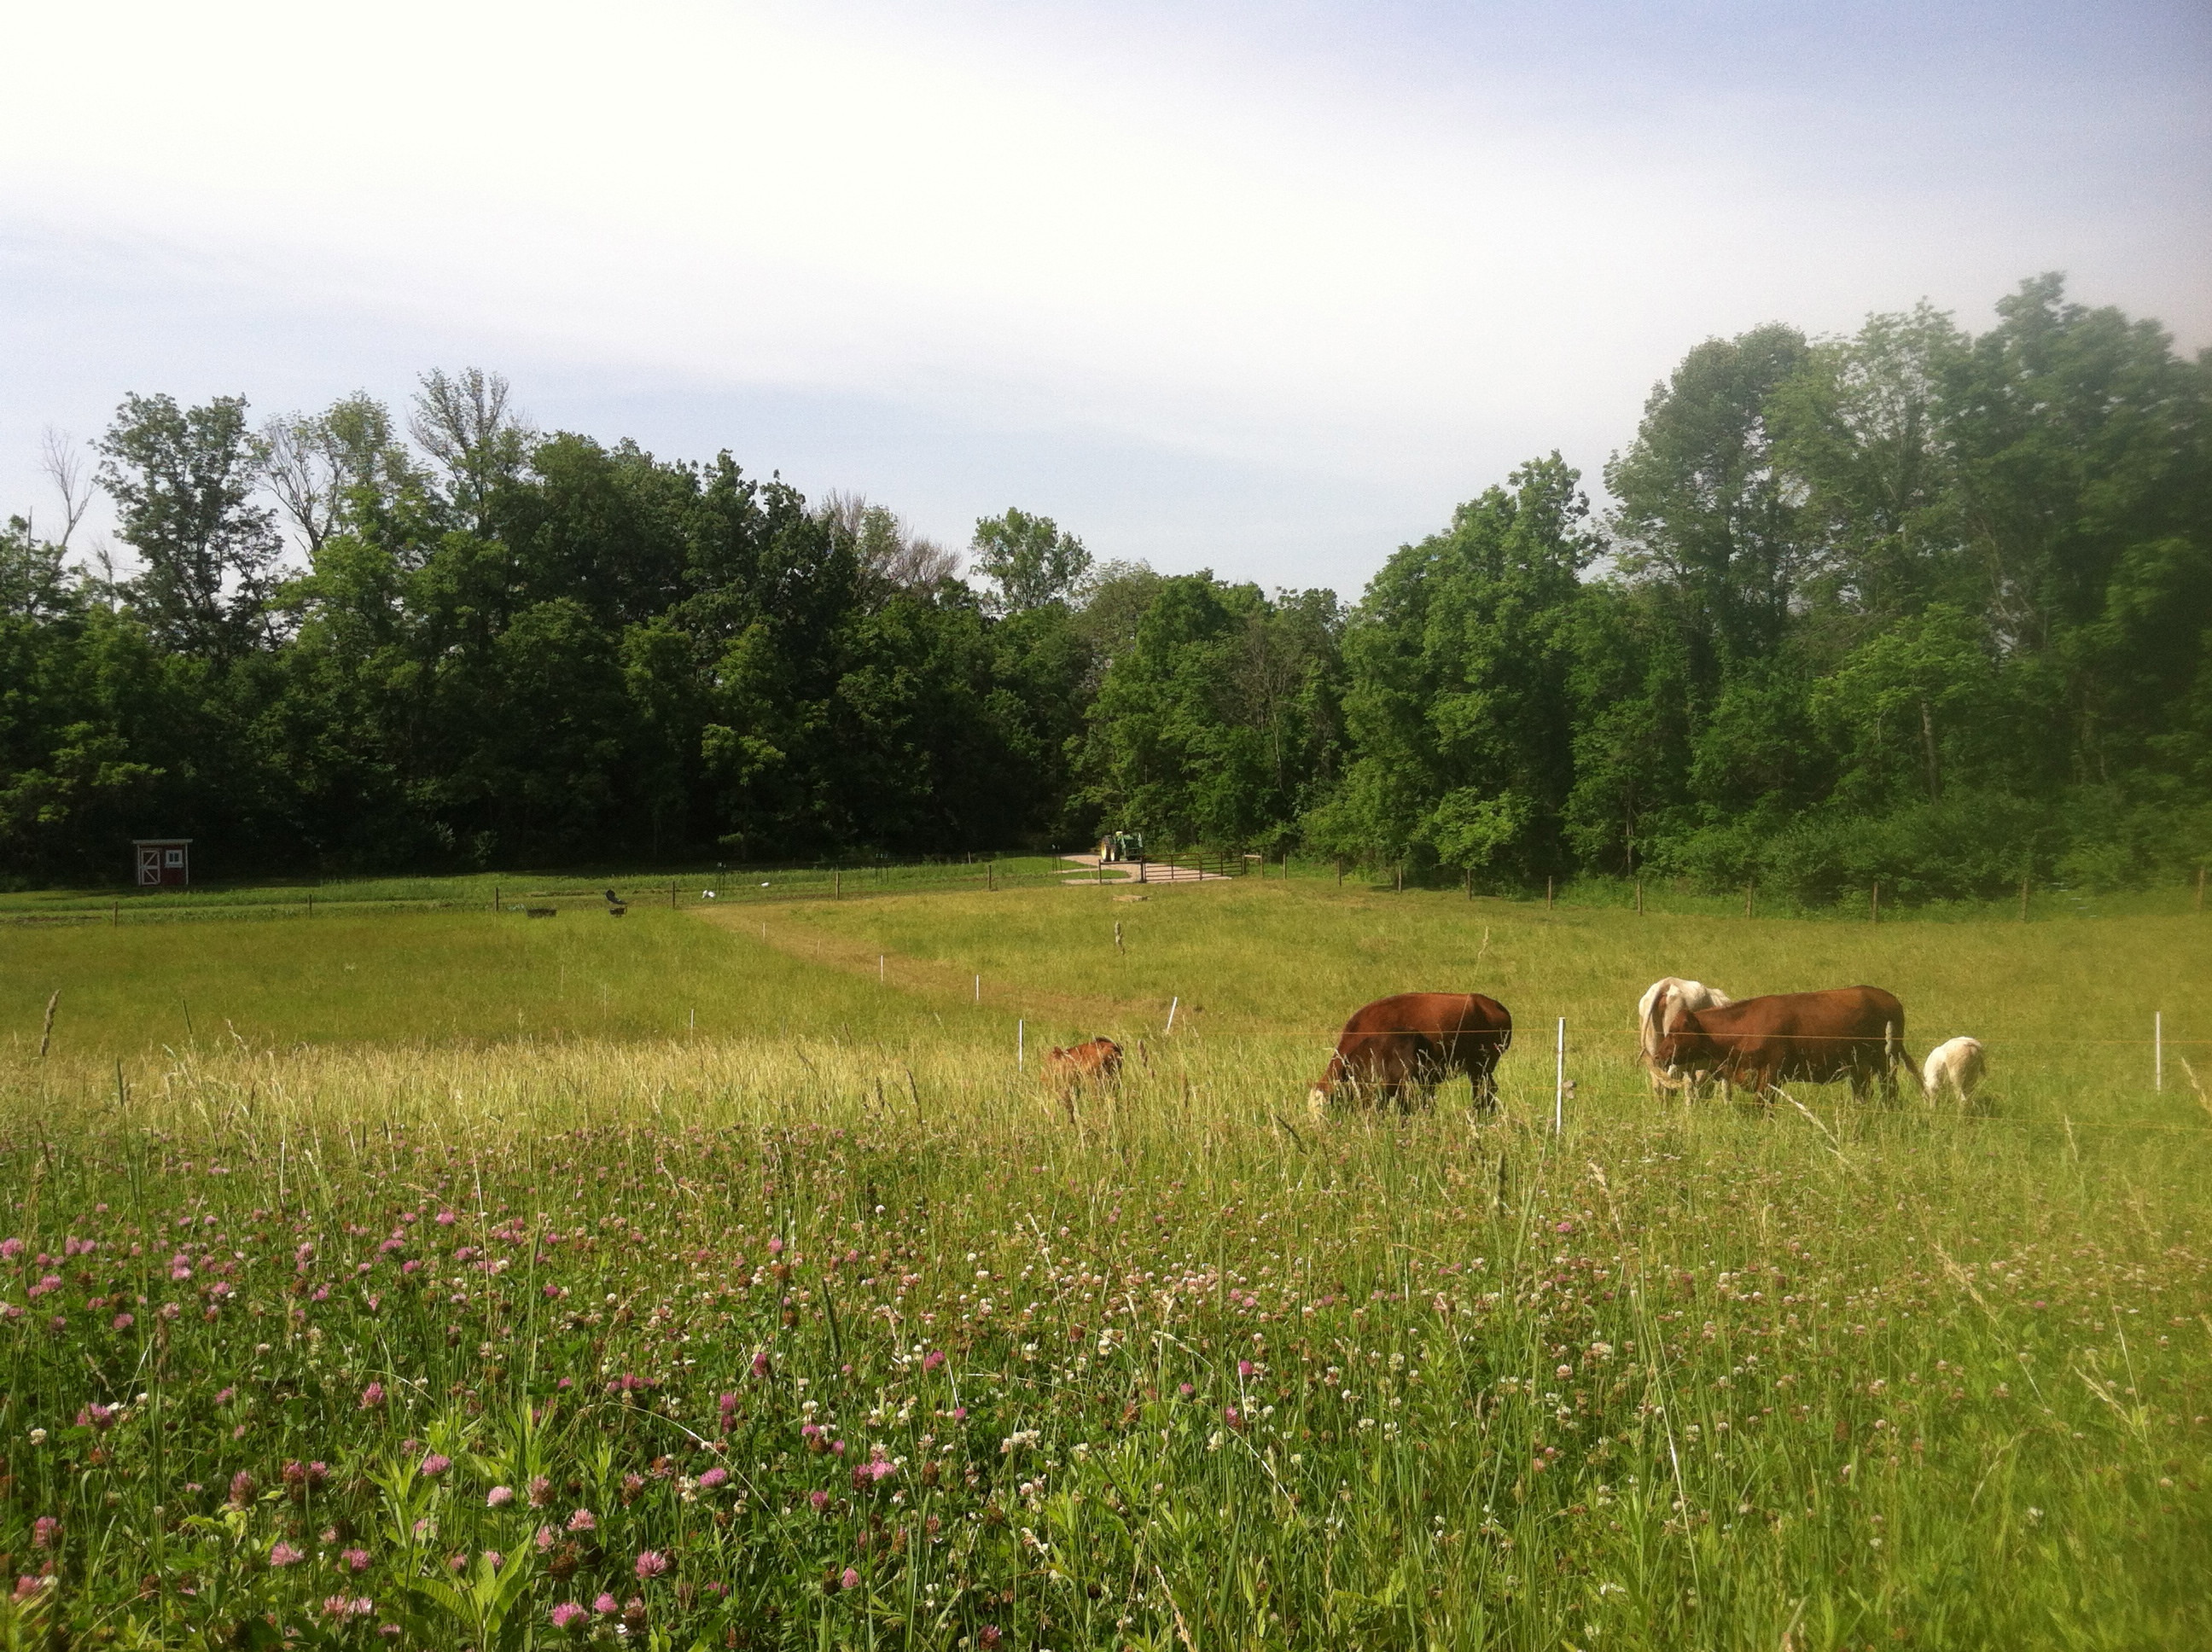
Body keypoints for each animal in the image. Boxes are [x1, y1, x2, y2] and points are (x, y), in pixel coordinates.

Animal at [1650, 985, 1918, 1104]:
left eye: (1676, 1032)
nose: (1659, 1055)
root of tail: (1889, 998)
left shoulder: (1770, 1076)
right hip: (1859, 1069)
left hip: (1884, 1062)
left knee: (1889, 1091)